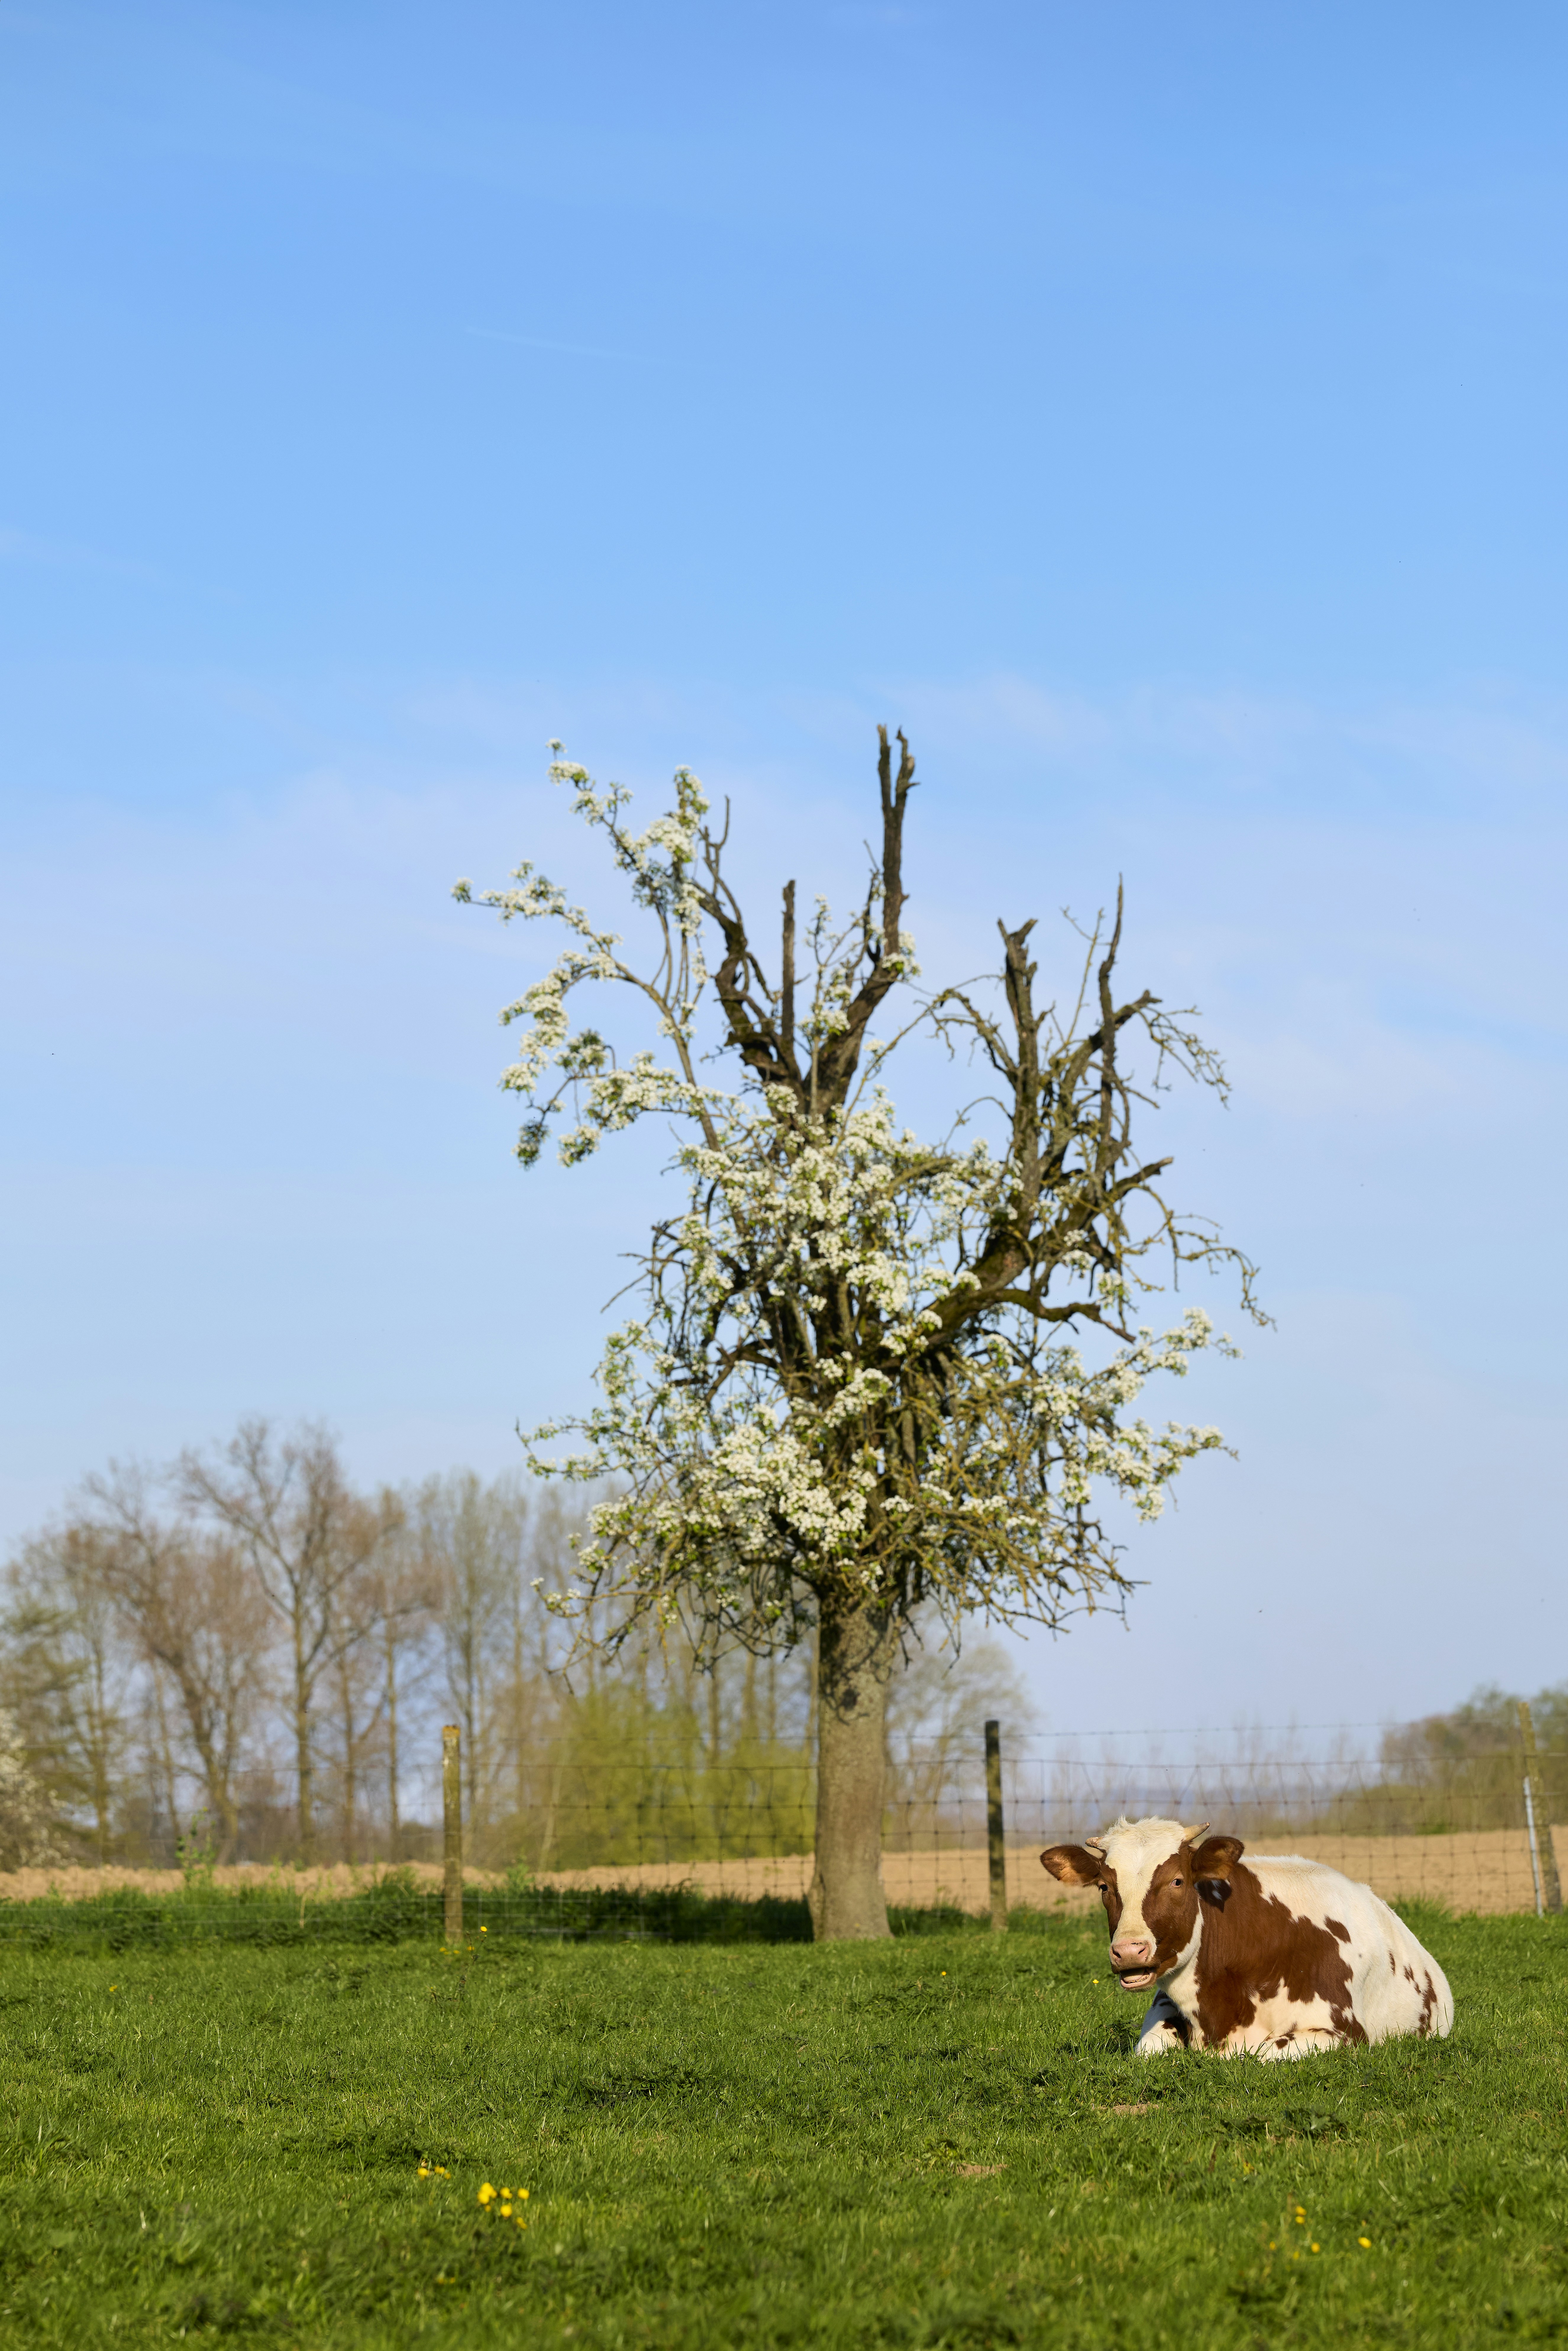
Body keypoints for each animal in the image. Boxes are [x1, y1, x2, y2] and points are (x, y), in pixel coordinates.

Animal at [1040, 1814, 1453, 2059]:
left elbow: (1263, 2054)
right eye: (1103, 1887)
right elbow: (1149, 2049)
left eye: (1178, 1881)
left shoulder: (1345, 2033)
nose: (1129, 1951)